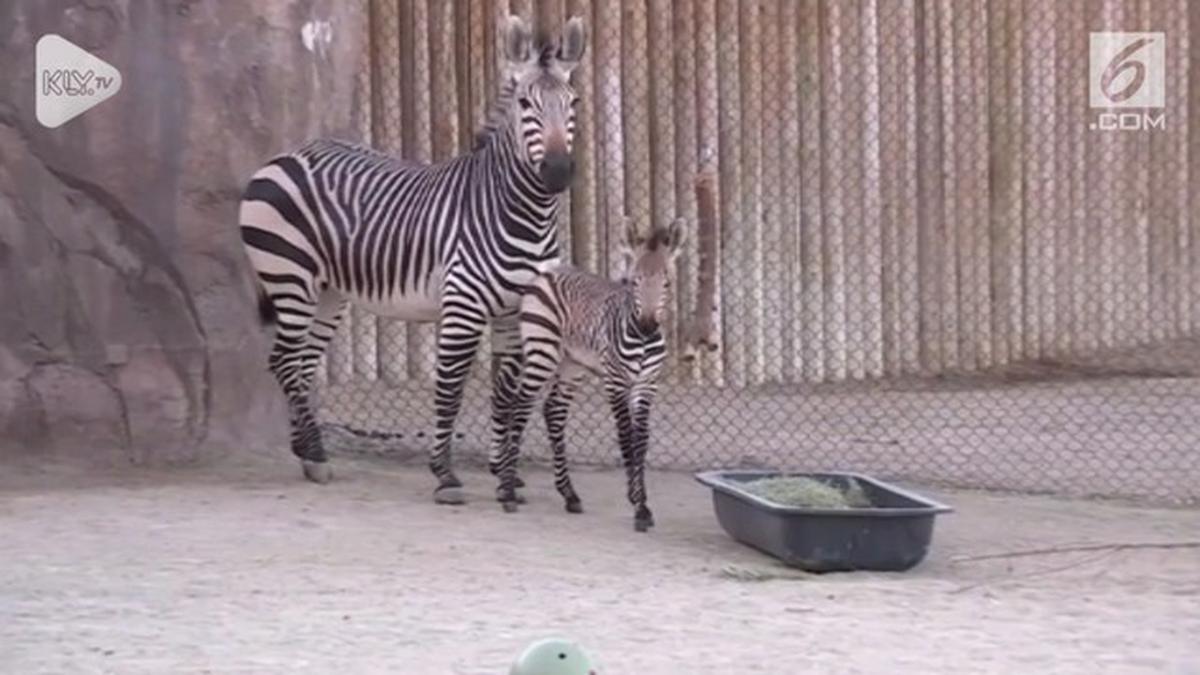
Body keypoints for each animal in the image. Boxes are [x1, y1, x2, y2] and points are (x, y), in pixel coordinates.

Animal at [238, 15, 587, 505]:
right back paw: (317, 455)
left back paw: (306, 451)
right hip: (290, 275)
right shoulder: (463, 305)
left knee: (303, 364)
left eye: (573, 102)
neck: (524, 216)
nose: (557, 172)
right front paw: (445, 475)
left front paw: (506, 473)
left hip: (328, 292)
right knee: (285, 361)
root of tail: (284, 154)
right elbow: (451, 388)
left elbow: (507, 393)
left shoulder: (516, 309)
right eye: (524, 104)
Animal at [494, 218, 685, 532]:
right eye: (635, 282)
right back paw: (508, 491)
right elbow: (626, 437)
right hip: (542, 351)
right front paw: (638, 505)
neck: (642, 338)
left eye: (667, 283)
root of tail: (548, 271)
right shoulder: (616, 381)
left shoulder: (646, 384)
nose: (647, 327)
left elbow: (641, 439)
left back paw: (569, 494)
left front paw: (640, 501)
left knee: (553, 411)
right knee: (520, 405)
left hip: (572, 365)